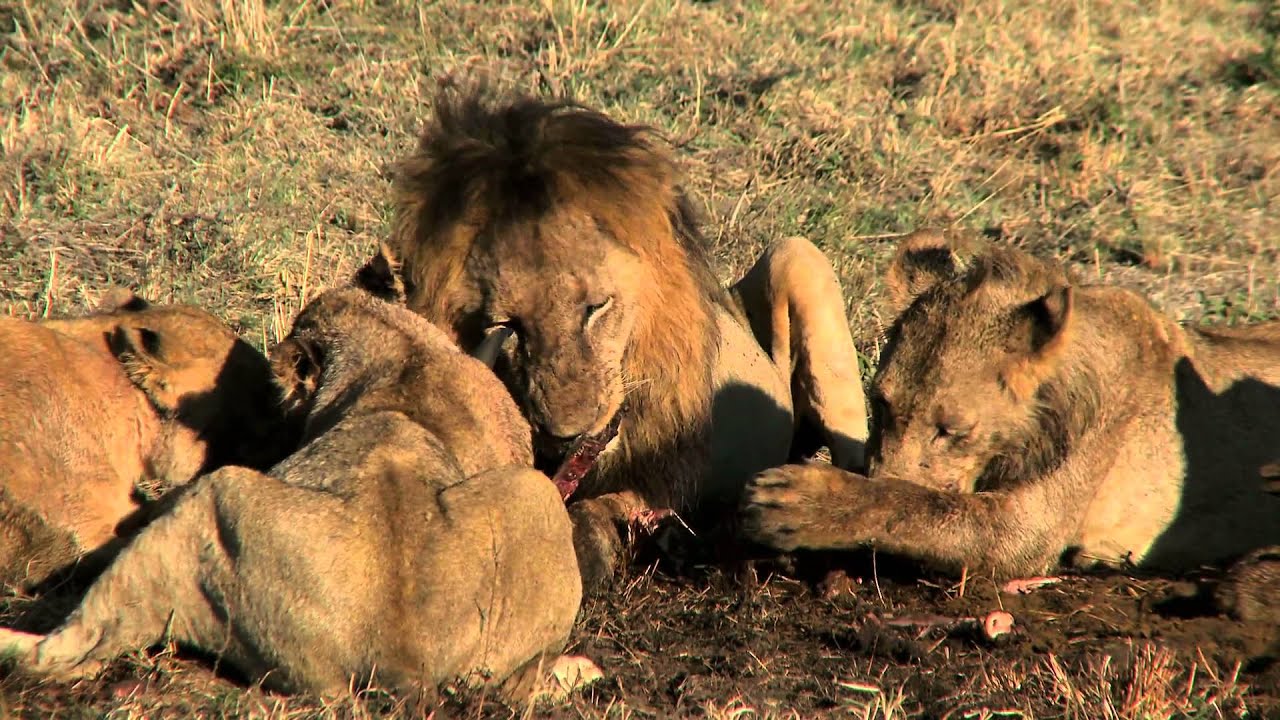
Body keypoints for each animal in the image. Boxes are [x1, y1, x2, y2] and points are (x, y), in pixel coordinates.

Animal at [355, 85, 871, 590]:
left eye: (595, 307)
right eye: (508, 325)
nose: (566, 434)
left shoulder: (681, 466)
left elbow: (621, 501)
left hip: (798, 257)